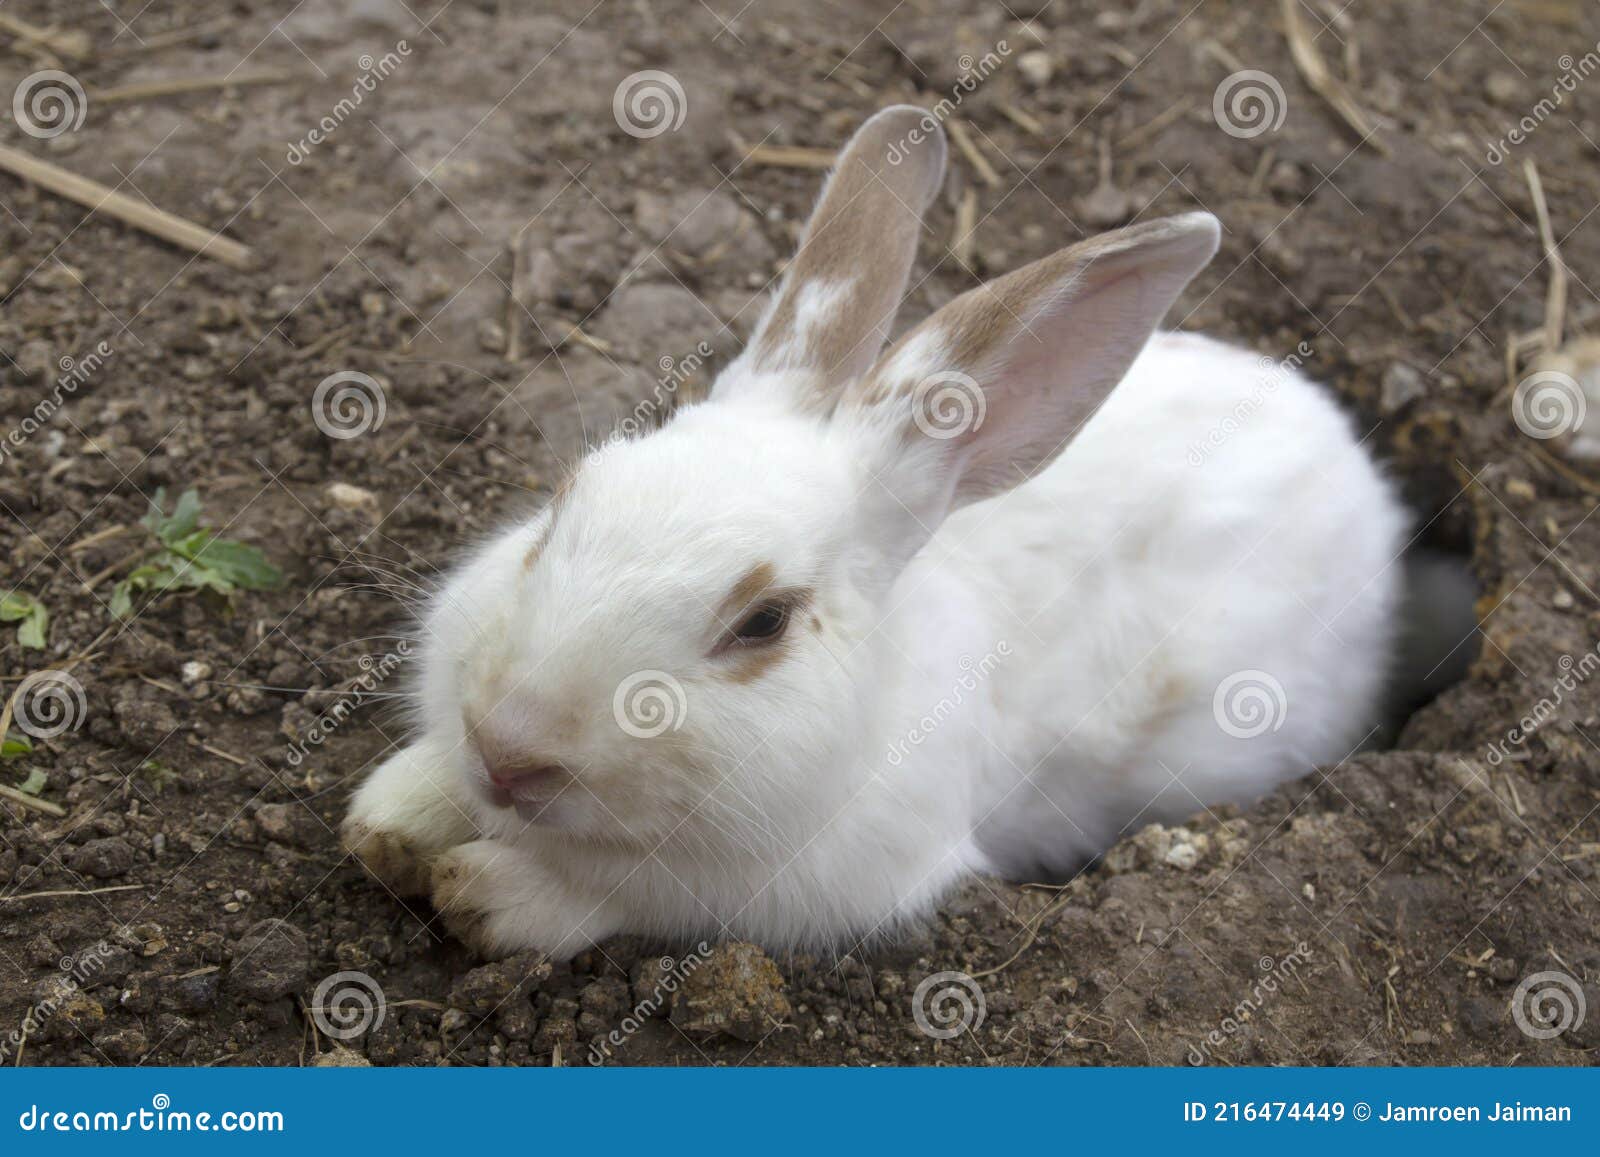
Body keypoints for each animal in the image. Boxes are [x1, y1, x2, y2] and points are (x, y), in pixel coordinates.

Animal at [340, 105, 1412, 960]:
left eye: (763, 623)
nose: (508, 743)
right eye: (565, 503)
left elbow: (623, 898)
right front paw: (387, 819)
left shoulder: (814, 882)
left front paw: (482, 892)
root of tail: (1360, 473)